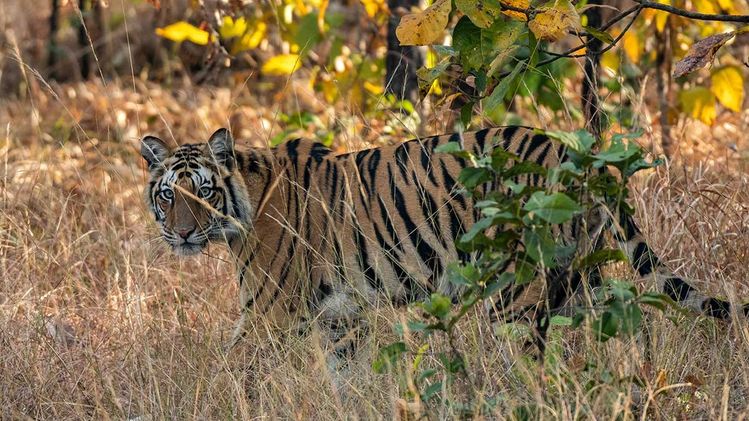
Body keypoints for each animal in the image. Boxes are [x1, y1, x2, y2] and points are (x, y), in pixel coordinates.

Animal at [141, 126, 745, 370]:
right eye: (169, 195)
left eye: (203, 191)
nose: (184, 233)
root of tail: (576, 153)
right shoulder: (342, 321)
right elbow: (348, 380)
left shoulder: (267, 314)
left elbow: (227, 375)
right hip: (579, 280)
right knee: (623, 331)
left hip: (518, 299)